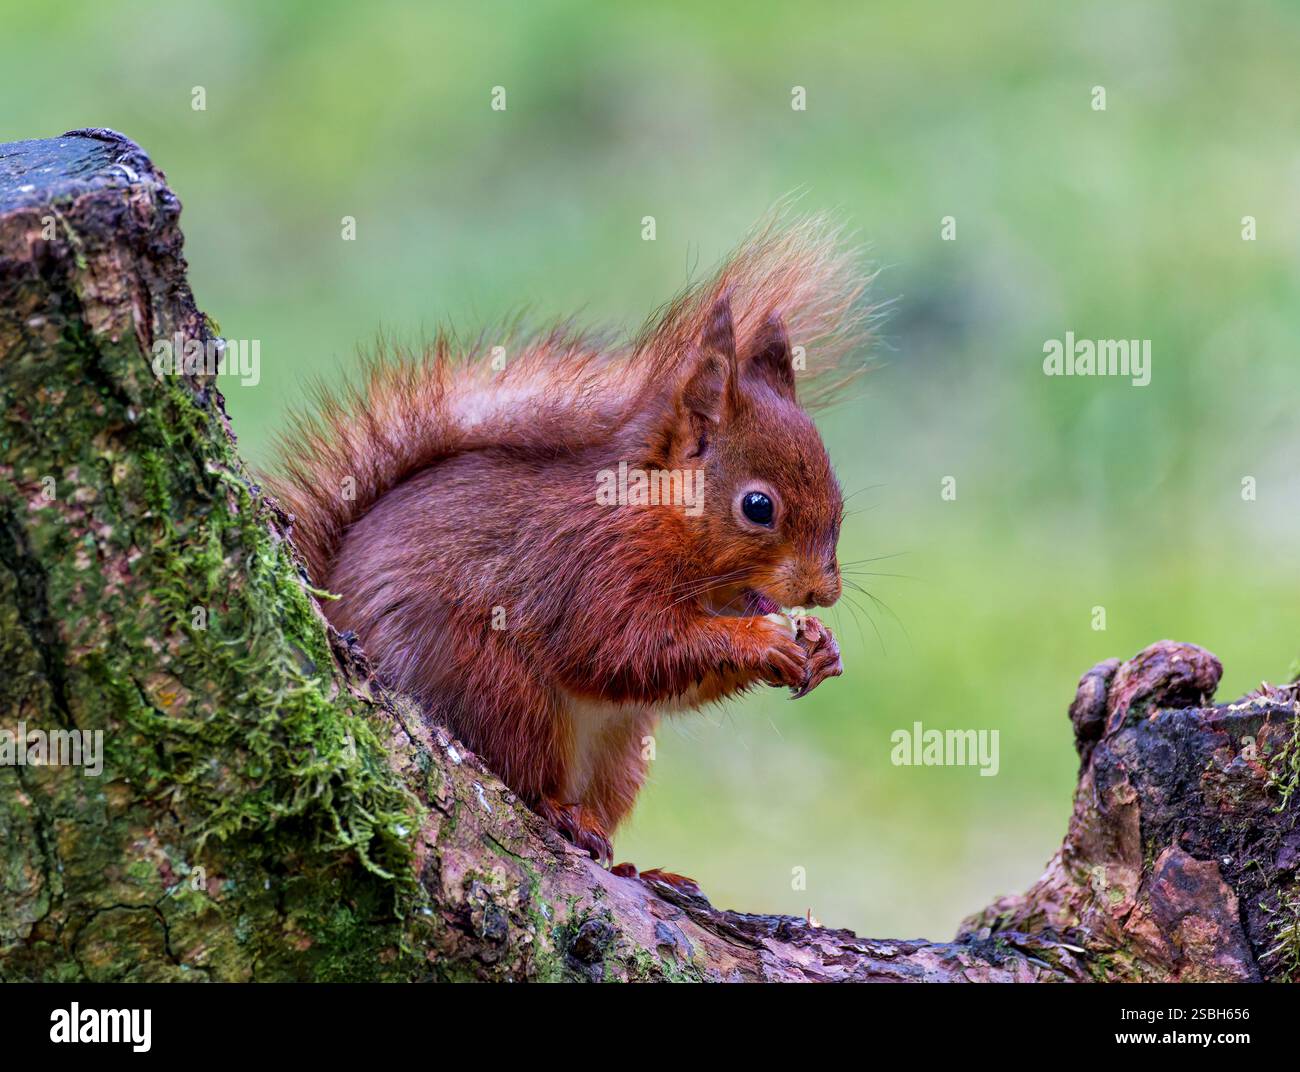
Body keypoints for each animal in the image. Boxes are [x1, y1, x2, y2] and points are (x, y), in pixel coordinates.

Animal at [265, 217, 870, 877]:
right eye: (758, 507)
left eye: (839, 494)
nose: (823, 592)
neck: (660, 520)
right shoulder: (591, 563)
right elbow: (618, 647)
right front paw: (762, 641)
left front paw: (823, 647)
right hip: (496, 684)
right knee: (524, 774)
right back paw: (561, 812)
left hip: (621, 751)